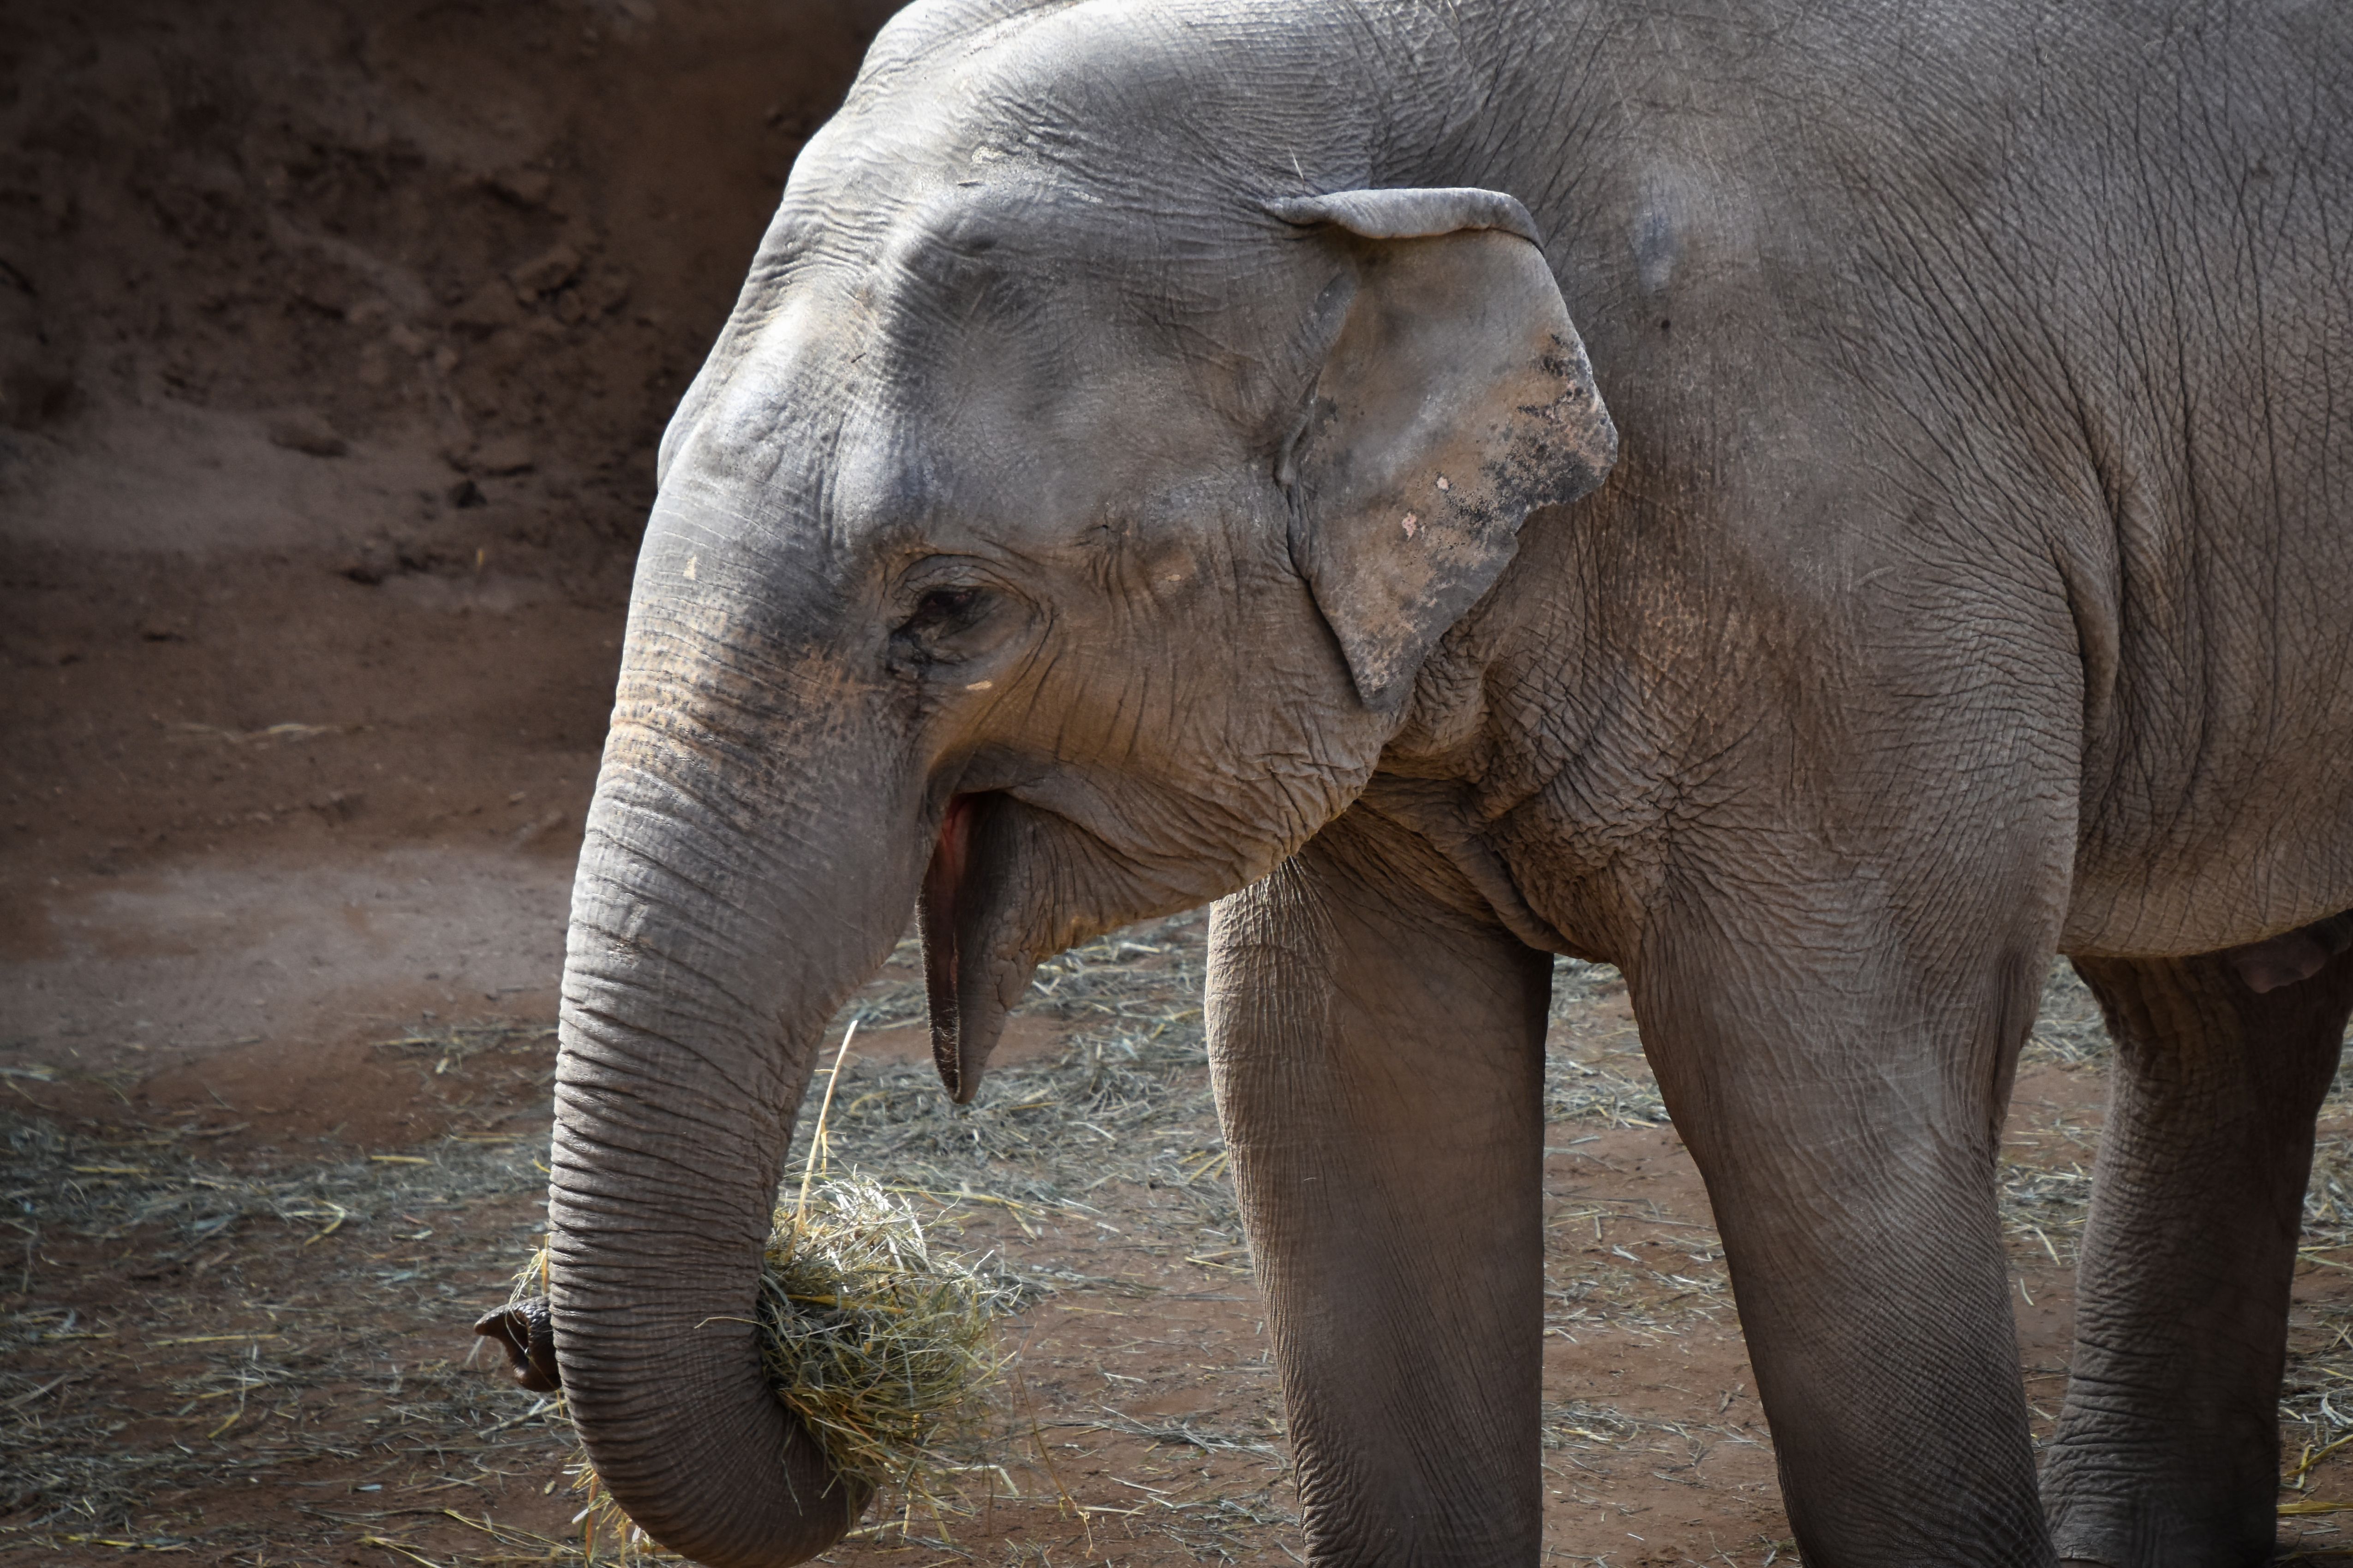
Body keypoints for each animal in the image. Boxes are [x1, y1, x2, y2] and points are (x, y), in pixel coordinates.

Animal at [498, 0, 2353, 1563]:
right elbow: (1340, 1082)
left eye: (946, 608)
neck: (1357, 99)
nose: (515, 1333)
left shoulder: (1861, 554)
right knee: (2217, 1008)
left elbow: (1829, 1119)